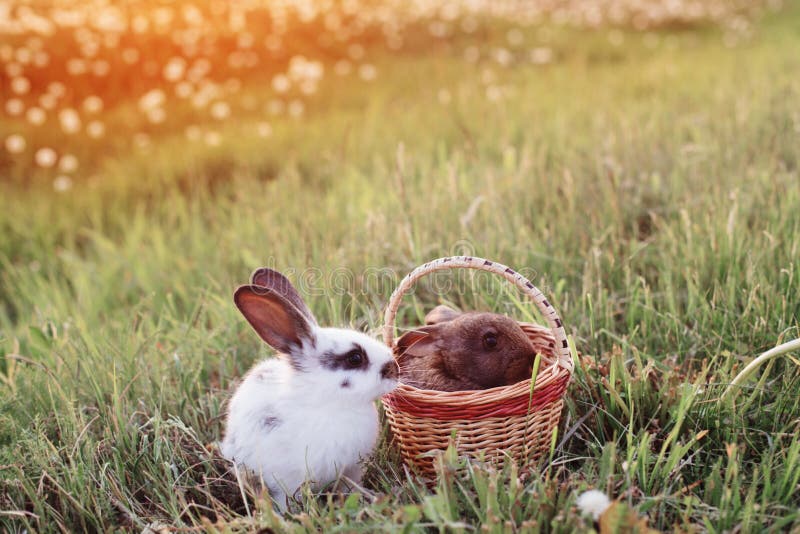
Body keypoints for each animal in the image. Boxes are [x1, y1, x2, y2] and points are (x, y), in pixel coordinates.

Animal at [220, 267, 399, 510]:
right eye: (355, 358)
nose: (395, 369)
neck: (328, 402)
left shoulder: (351, 469)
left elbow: (350, 488)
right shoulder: (285, 482)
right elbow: (286, 502)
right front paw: (290, 515)